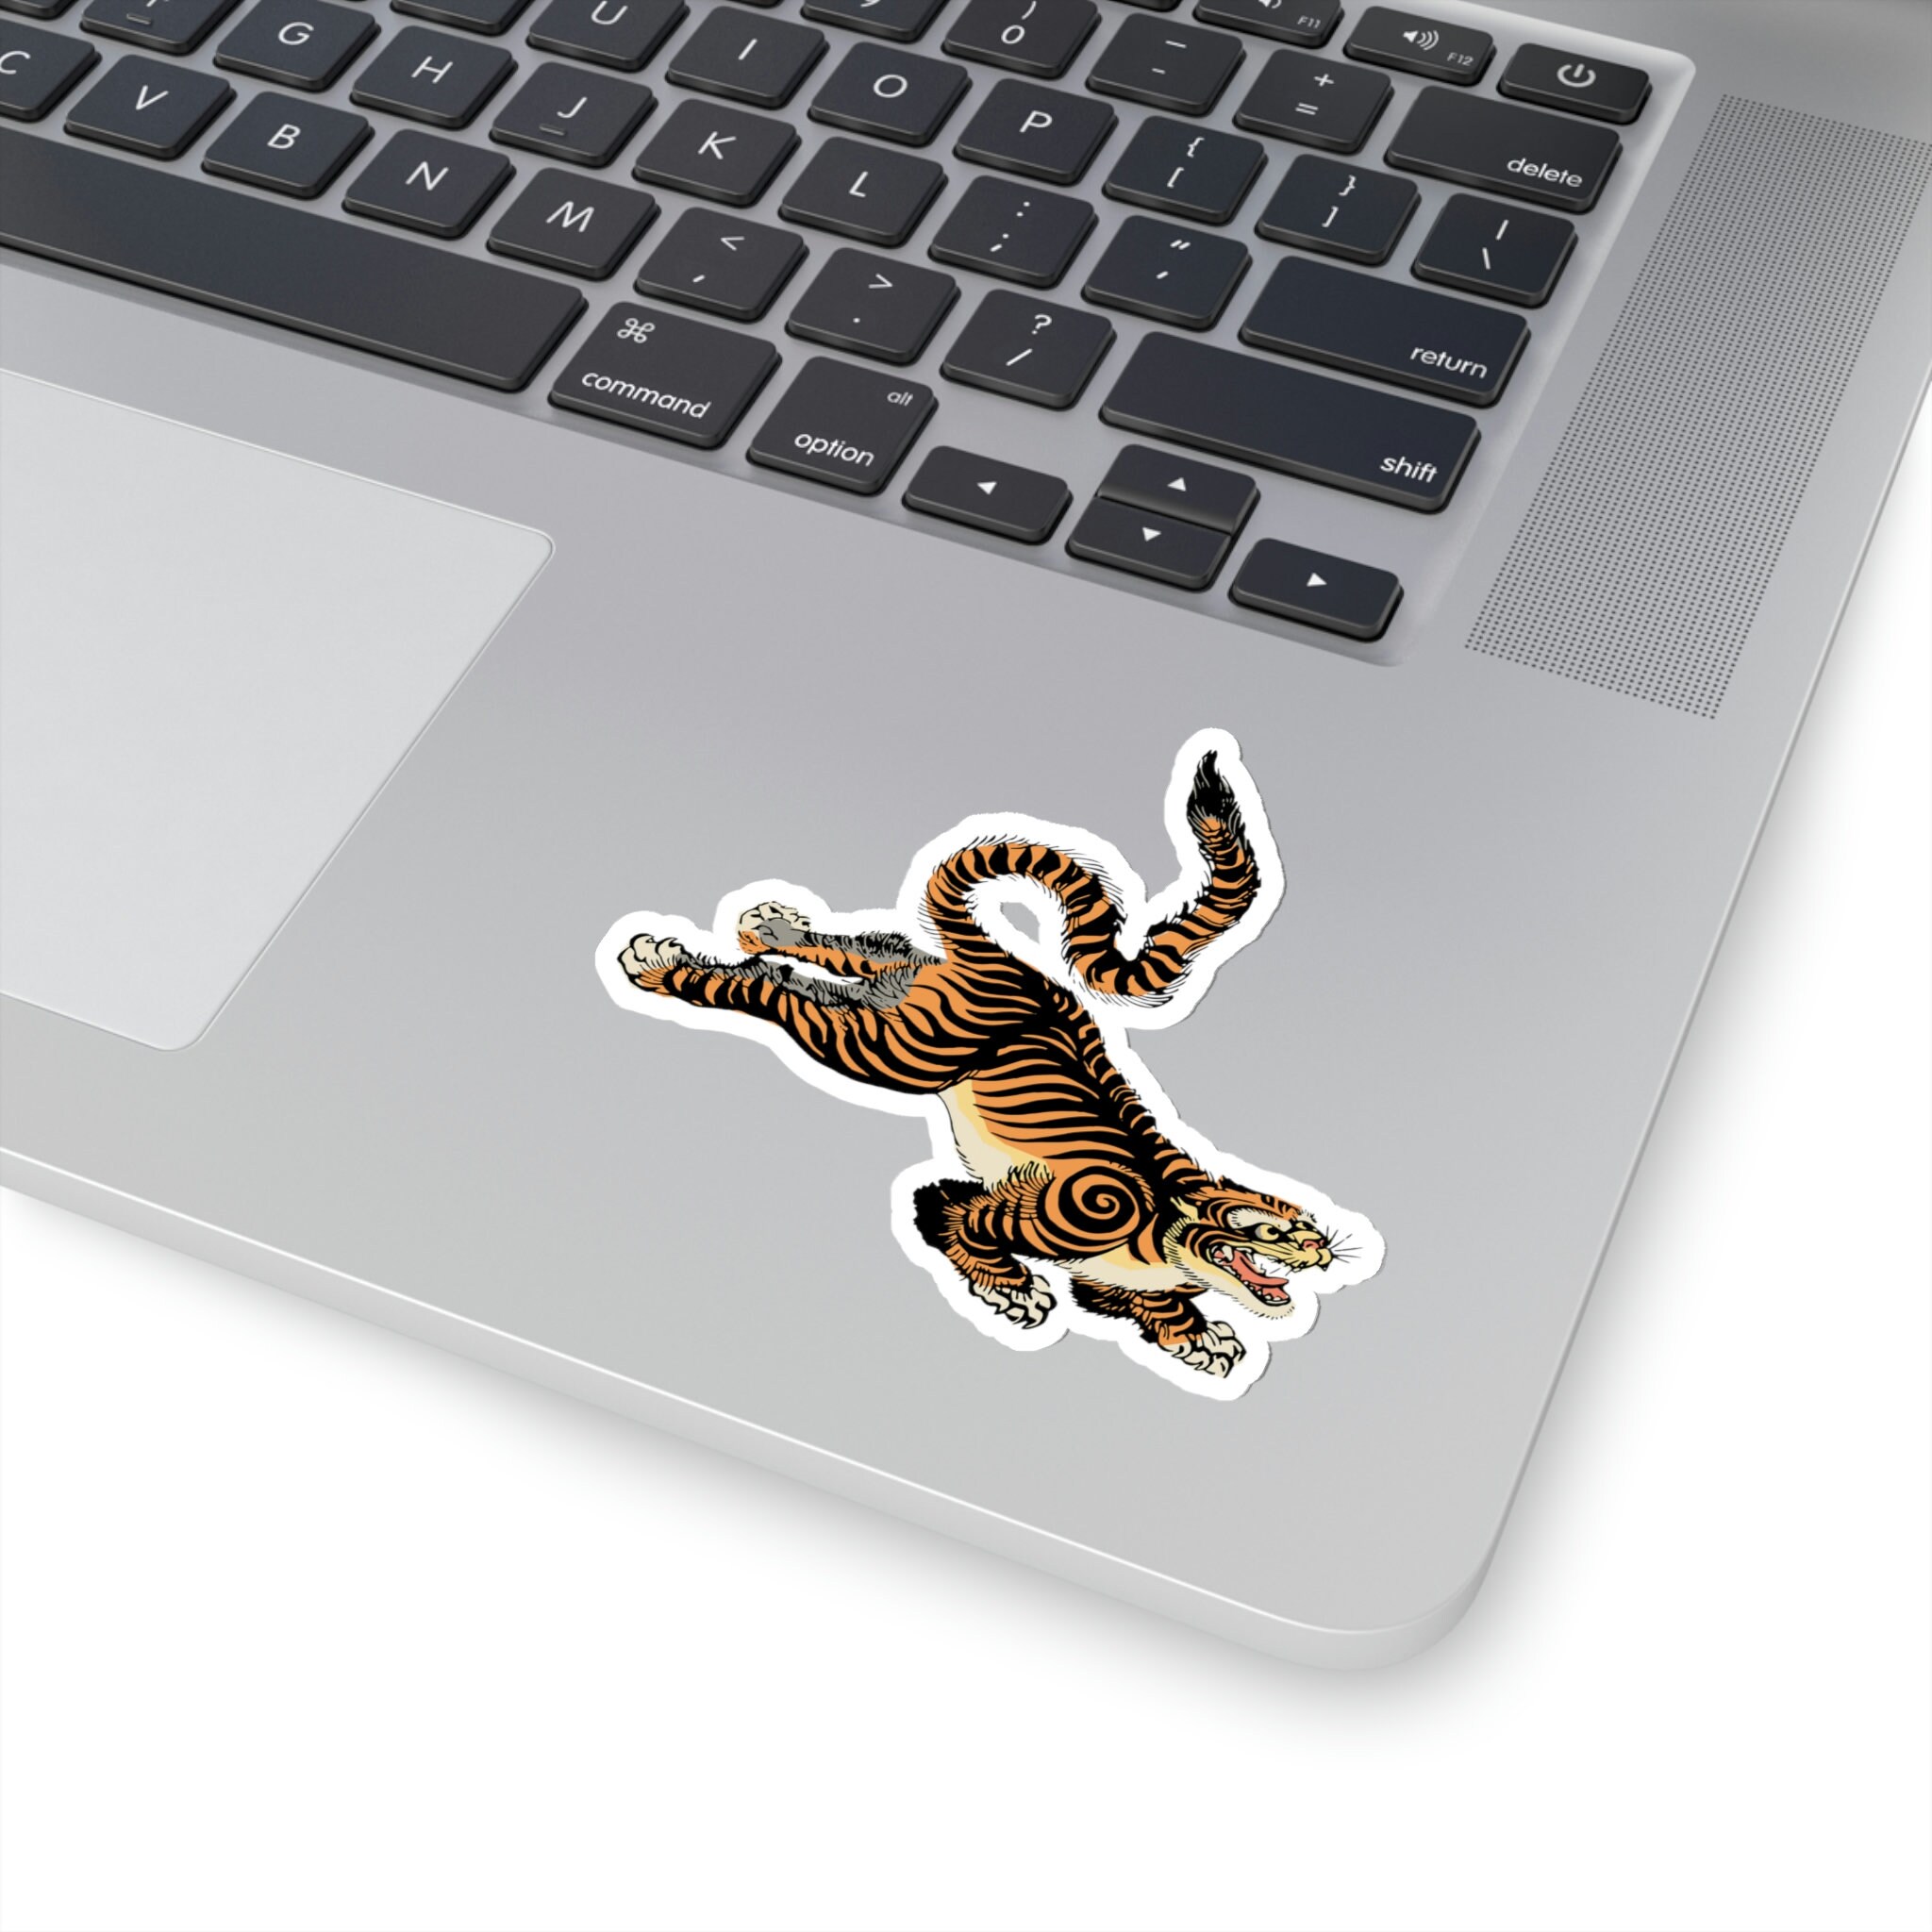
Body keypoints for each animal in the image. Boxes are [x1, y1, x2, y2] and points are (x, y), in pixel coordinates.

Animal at [605, 735, 1381, 1391]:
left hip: (899, 993)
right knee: (768, 992)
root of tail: (1012, 968)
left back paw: (769, 924)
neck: (1163, 1233)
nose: (1323, 1254)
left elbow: (1144, 1304)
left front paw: (1197, 1339)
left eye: (1313, 1231)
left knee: (861, 951)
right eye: (1272, 1231)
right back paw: (657, 963)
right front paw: (1011, 1292)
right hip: (894, 1052)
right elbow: (946, 1216)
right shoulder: (1002, 1207)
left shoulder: (1114, 1280)